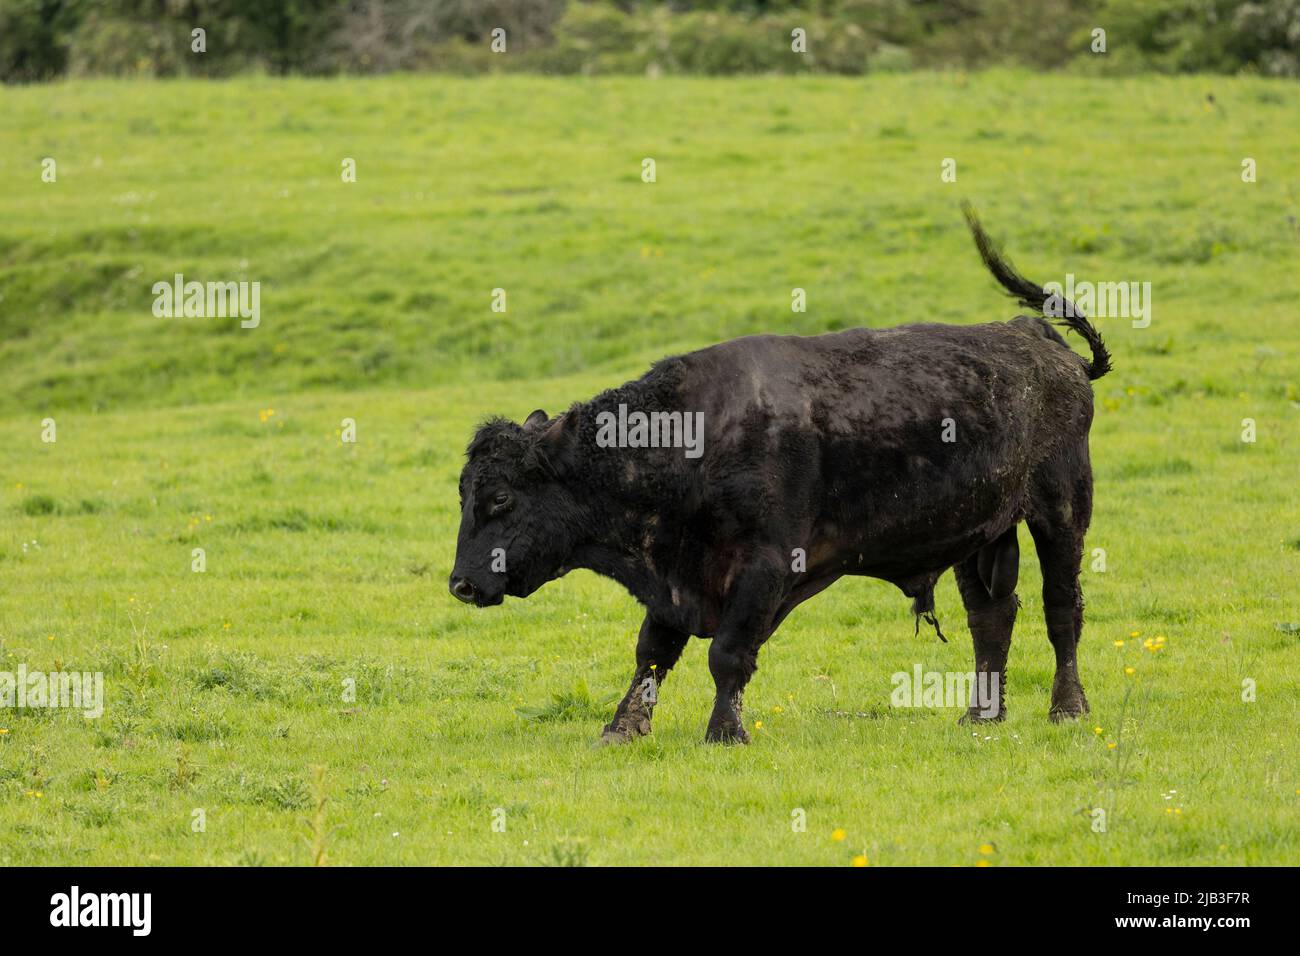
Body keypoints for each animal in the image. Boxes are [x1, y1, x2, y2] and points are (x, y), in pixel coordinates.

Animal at [450, 205, 1111, 744]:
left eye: (501, 498)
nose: (461, 584)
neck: (693, 439)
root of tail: (1036, 339)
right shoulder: (674, 577)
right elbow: (652, 652)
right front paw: (622, 727)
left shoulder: (764, 567)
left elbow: (727, 655)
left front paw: (724, 732)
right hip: (978, 533)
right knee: (991, 617)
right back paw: (980, 716)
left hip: (1061, 512)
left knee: (1062, 608)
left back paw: (1068, 708)